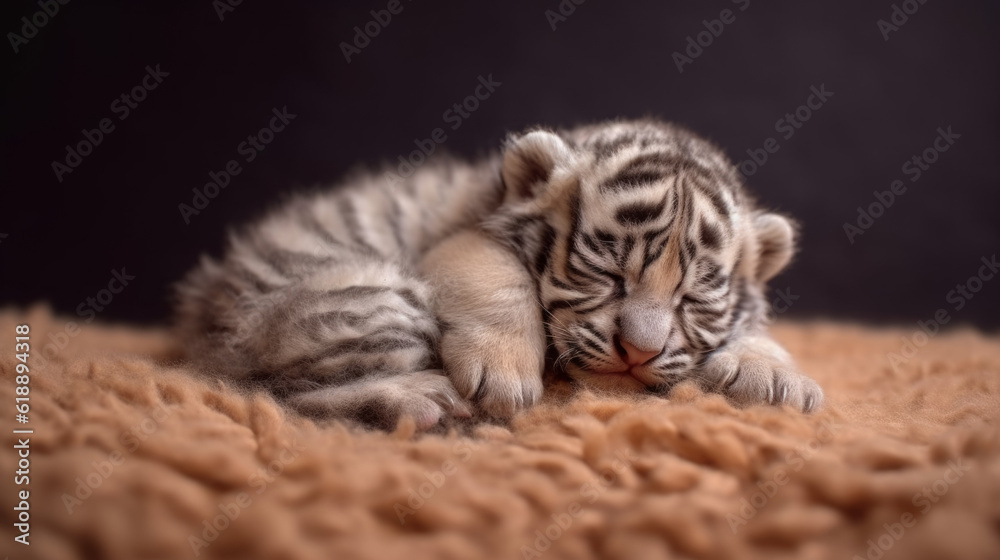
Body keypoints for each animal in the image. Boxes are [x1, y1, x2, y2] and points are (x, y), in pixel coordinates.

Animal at [174, 118, 824, 430]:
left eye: (691, 300)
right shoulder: (463, 239)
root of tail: (207, 321)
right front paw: (506, 377)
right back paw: (420, 398)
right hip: (364, 300)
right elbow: (497, 277)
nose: (638, 352)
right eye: (609, 274)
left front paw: (774, 375)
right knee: (277, 394)